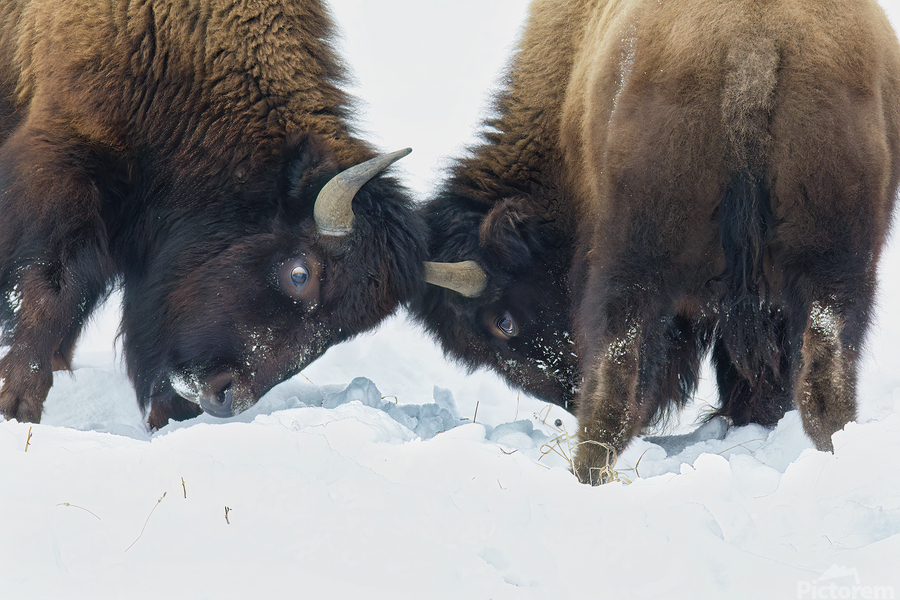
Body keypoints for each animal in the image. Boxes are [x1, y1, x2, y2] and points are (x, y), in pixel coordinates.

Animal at [0, 0, 426, 428]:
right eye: (299, 274)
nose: (225, 396)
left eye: (345, 329)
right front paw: (17, 406)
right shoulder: (66, 168)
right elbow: (54, 289)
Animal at [415, 0, 900, 483]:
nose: (567, 393)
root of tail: (753, 47)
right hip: (834, 269)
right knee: (824, 384)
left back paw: (586, 472)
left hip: (632, 266)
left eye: (504, 323)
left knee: (617, 383)